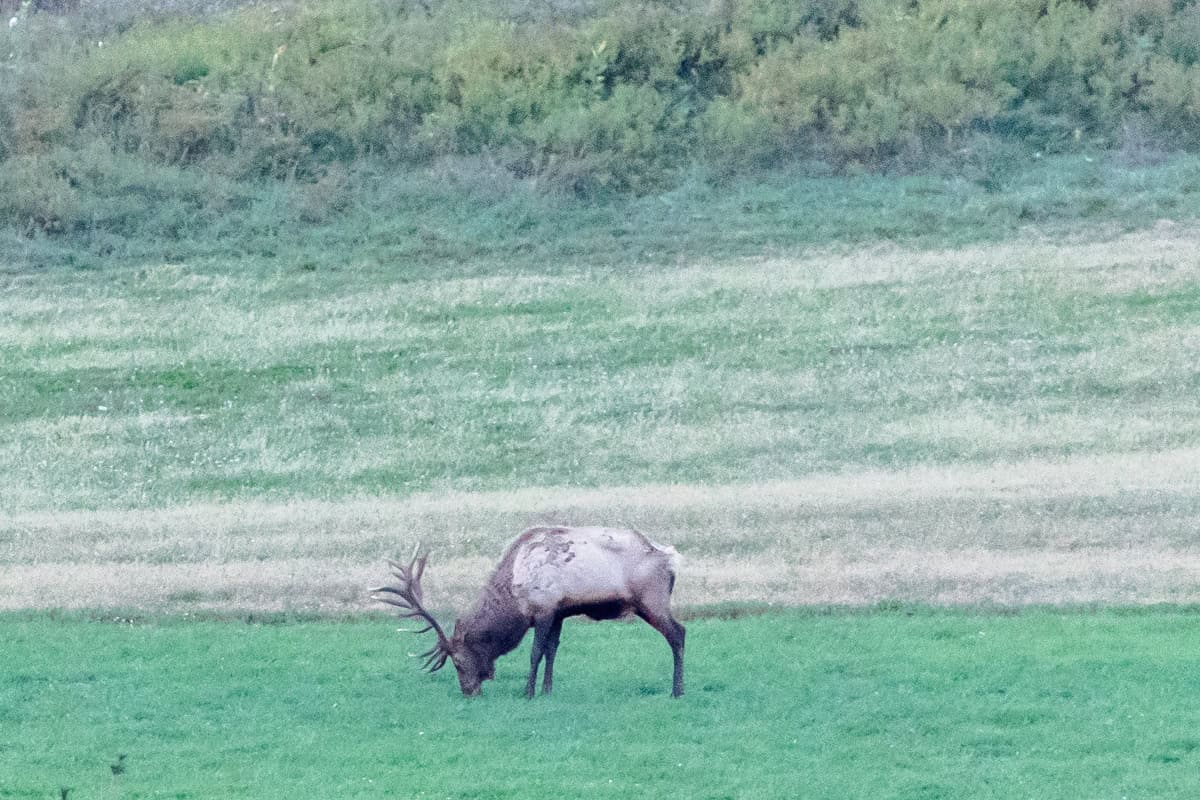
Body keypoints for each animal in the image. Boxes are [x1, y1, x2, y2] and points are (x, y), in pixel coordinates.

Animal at [370, 526, 685, 698]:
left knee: (678, 633)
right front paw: (547, 690)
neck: (514, 595)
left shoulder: (543, 608)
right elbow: (552, 651)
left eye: (458, 662)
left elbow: (536, 652)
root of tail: (672, 560)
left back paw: (677, 690)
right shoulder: (559, 611)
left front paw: (528, 692)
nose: (469, 691)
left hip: (651, 600)